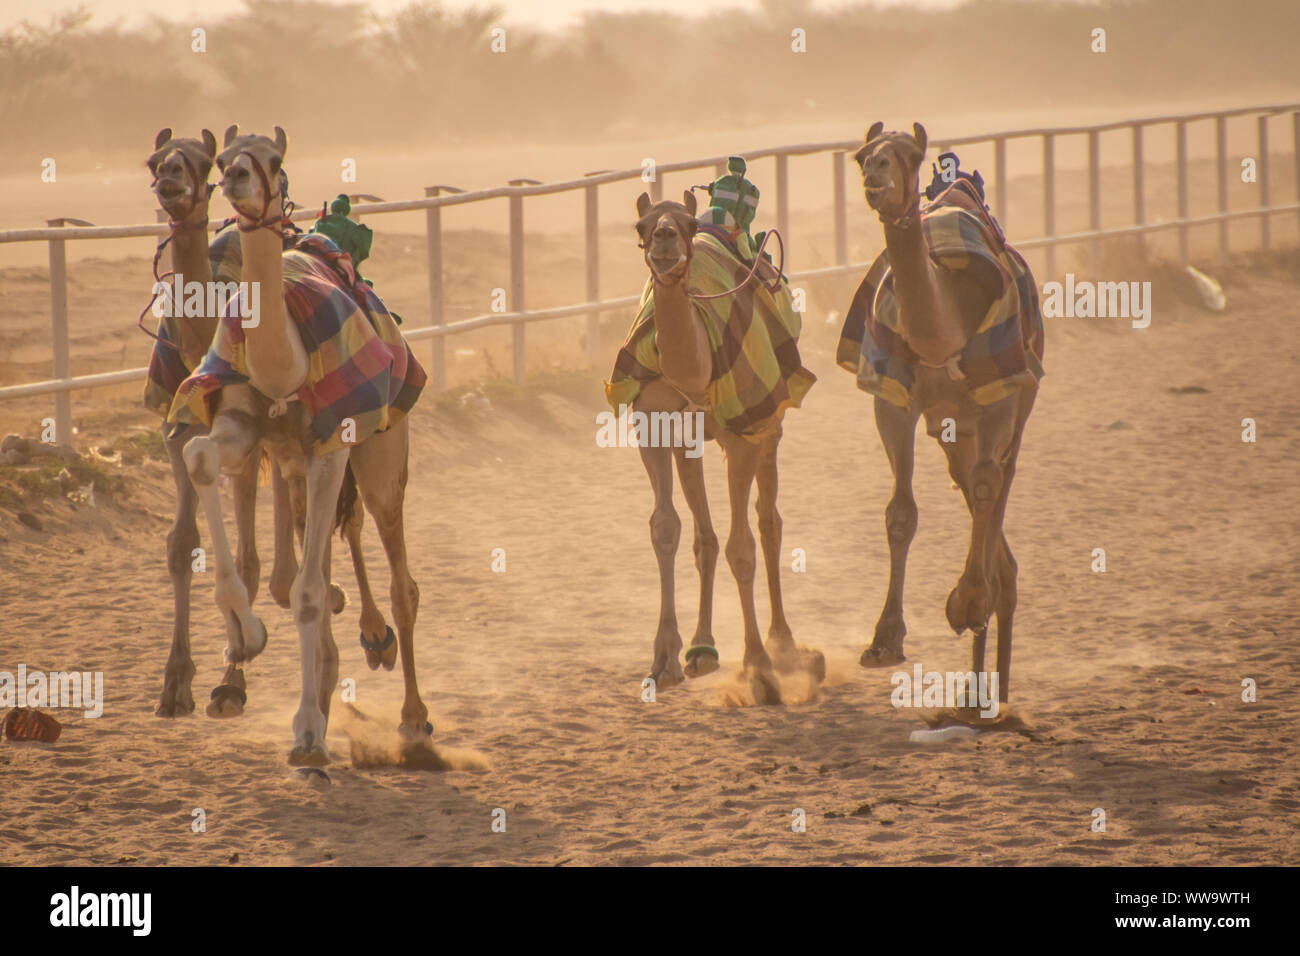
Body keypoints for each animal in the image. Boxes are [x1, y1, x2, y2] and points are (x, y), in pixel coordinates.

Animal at [177, 125, 428, 764]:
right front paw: (245, 635)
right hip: (291, 465)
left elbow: (311, 593)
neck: (283, 366)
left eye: (273, 159)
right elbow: (199, 457)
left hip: (382, 454)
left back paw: (413, 717)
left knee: (400, 577)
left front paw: (309, 732)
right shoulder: (244, 429)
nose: (237, 177)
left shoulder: (331, 447)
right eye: (222, 158)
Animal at [628, 190, 822, 703]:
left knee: (767, 523)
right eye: (641, 225)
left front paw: (759, 668)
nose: (664, 241)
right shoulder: (653, 425)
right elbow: (666, 528)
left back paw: (784, 646)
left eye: (689, 222)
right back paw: (702, 651)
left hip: (770, 428)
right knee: (705, 535)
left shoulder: (742, 439)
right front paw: (665, 660)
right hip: (690, 442)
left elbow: (743, 547)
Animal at [853, 122, 1041, 705]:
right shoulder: (892, 399)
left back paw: (990, 673)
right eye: (862, 156)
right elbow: (901, 512)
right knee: (971, 484)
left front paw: (967, 602)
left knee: (995, 482)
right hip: (952, 428)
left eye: (910, 156)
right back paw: (979, 685)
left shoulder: (999, 392)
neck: (942, 334)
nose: (876, 175)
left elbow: (985, 489)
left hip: (1017, 403)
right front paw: (884, 640)